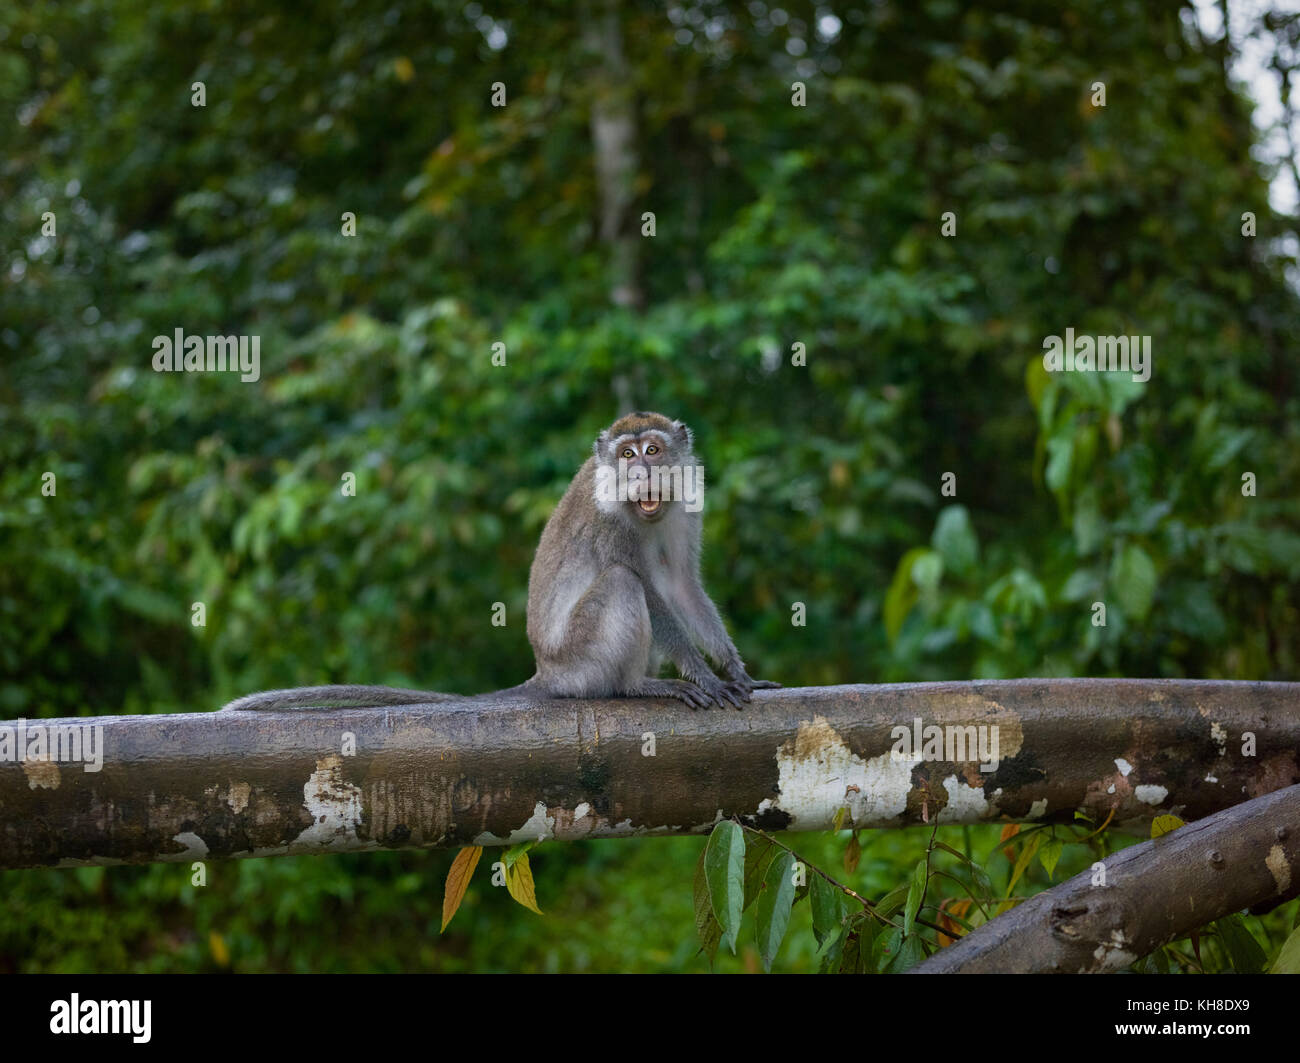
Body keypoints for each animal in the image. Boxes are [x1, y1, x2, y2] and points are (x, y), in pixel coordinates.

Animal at [221, 411, 777, 711]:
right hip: (581, 660)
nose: (640, 473)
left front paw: (736, 672)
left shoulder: (688, 508)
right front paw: (704, 678)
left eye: (653, 450)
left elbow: (682, 586)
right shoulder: (610, 525)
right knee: (621, 582)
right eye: (626, 456)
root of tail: (547, 673)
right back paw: (636, 687)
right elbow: (650, 592)